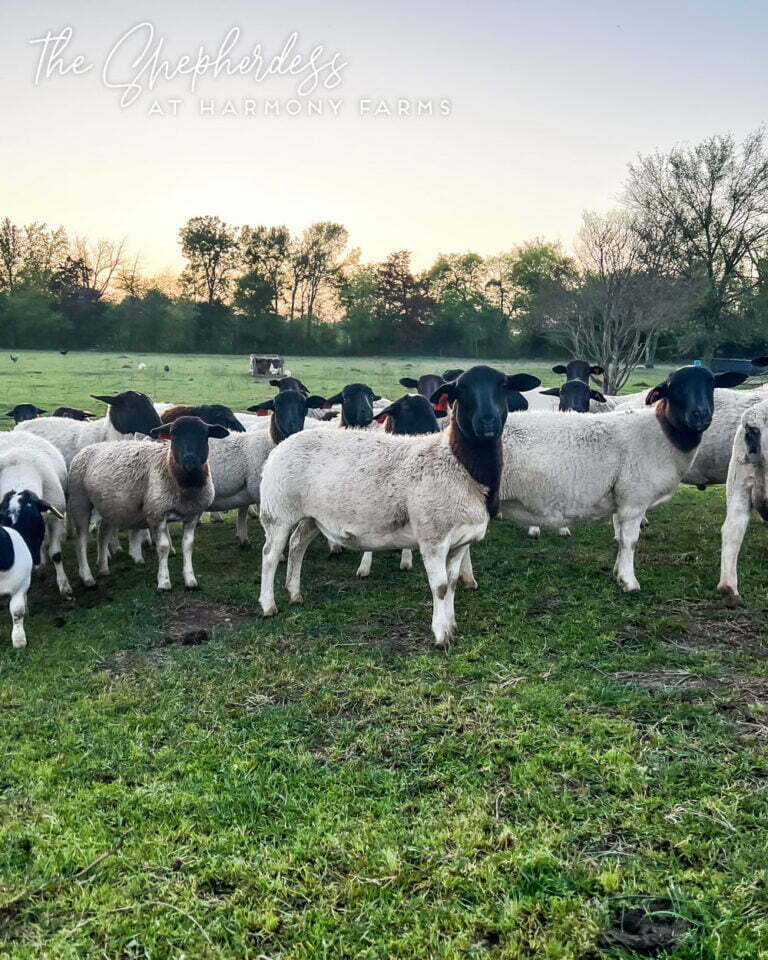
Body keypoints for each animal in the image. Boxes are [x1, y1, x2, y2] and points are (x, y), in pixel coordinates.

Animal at [68, 416, 228, 590]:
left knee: (102, 532)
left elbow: (188, 546)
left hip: (110, 506)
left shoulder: (193, 515)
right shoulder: (156, 513)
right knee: (80, 542)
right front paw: (164, 582)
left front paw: (190, 580)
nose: (189, 461)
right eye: (173, 435)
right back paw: (87, 577)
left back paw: (103, 568)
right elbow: (163, 547)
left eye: (204, 434)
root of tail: (86, 449)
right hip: (79, 501)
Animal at [259, 366, 539, 647]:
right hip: (277, 510)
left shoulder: (460, 540)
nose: (487, 421)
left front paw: (451, 626)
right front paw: (441, 635)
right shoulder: (433, 538)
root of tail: (283, 445)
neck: (460, 465)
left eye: (504, 386)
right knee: (270, 555)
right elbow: (440, 587)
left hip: (312, 516)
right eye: (460, 390)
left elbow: (452, 584)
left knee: (297, 545)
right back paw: (268, 605)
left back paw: (294, 593)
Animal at [497, 365, 746, 592]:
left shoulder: (624, 500)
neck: (663, 436)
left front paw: (618, 573)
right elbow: (630, 541)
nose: (701, 414)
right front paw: (629, 581)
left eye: (712, 384)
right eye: (673, 388)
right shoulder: (634, 499)